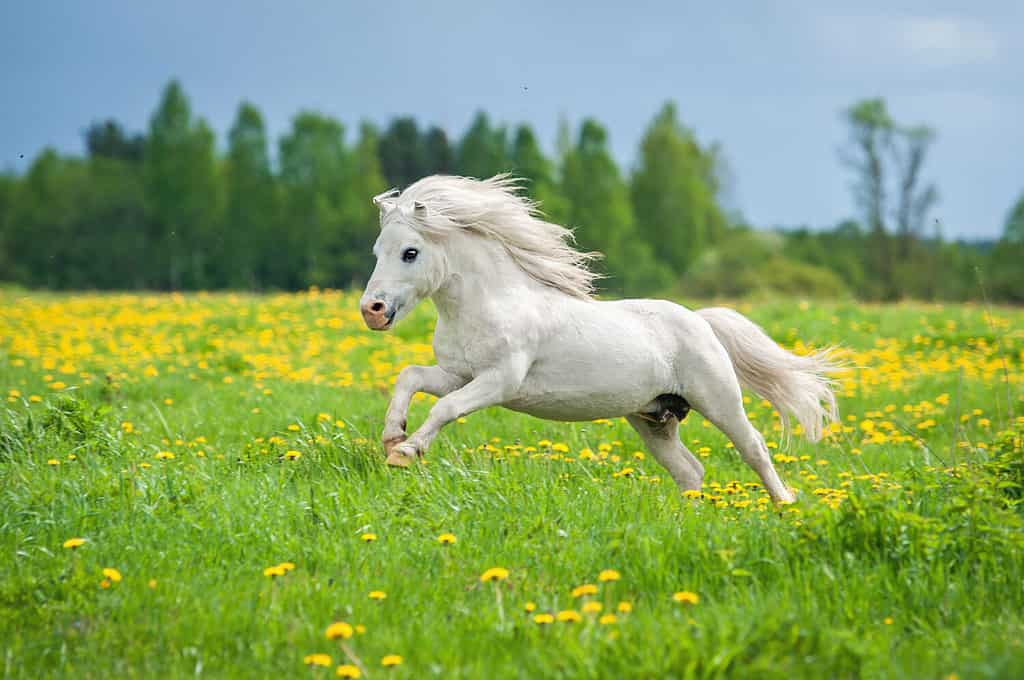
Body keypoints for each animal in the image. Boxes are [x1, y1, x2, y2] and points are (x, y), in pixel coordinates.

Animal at [359, 175, 839, 503]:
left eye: (411, 252)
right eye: (377, 251)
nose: (372, 310)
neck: (491, 302)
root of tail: (700, 320)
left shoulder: (499, 381)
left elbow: (446, 408)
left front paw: (407, 452)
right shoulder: (457, 373)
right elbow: (410, 377)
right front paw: (392, 437)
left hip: (718, 399)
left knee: (754, 448)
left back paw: (784, 505)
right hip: (653, 418)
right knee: (689, 470)